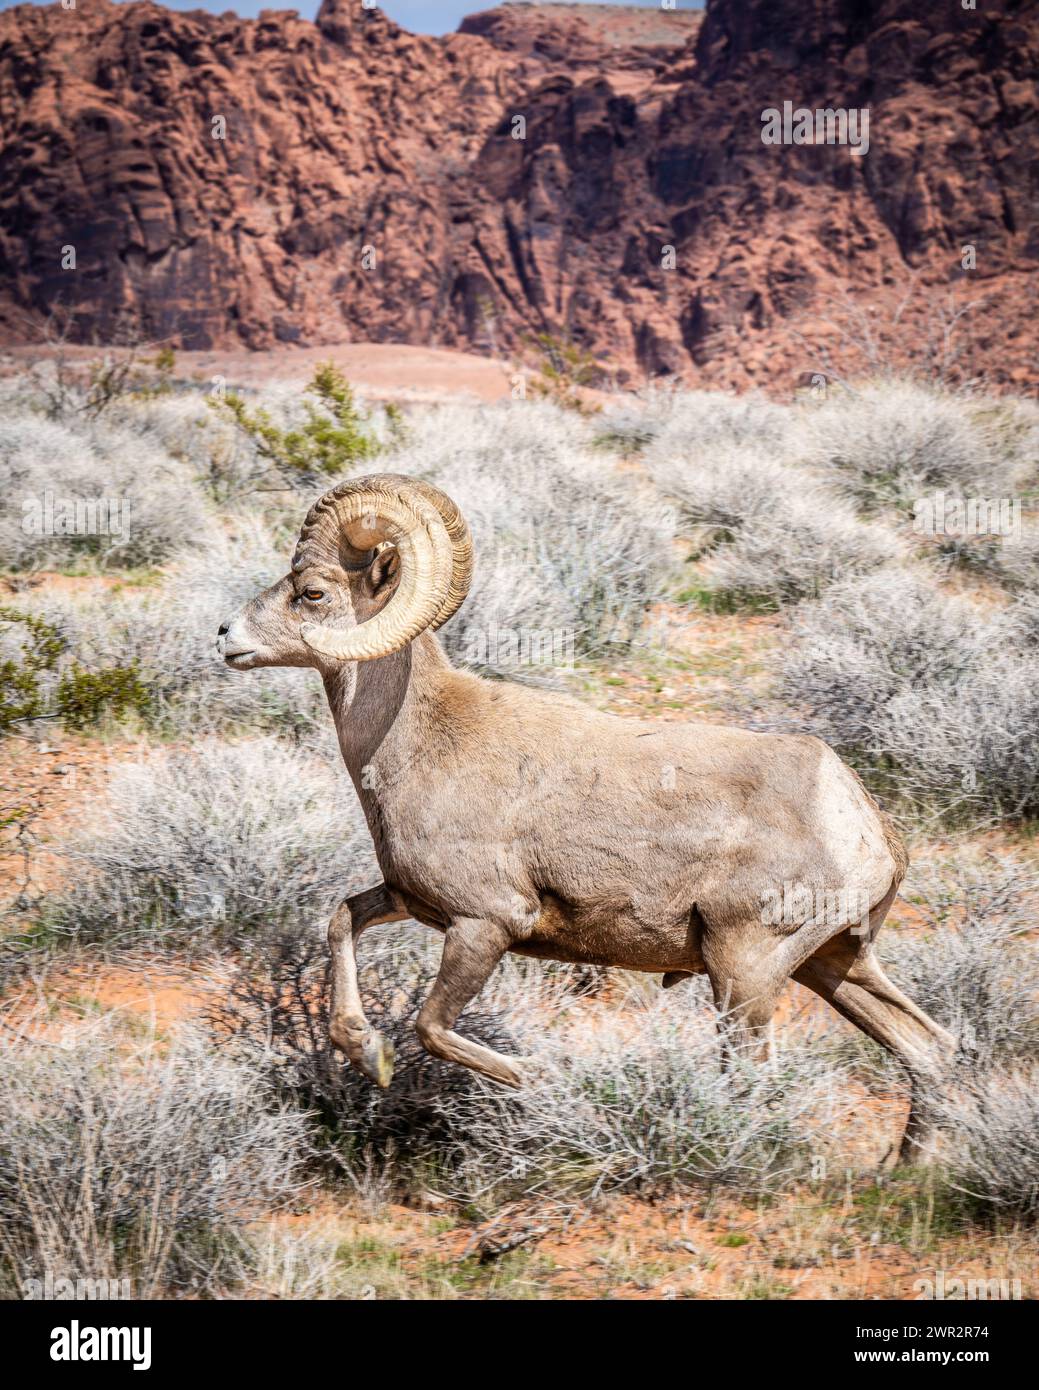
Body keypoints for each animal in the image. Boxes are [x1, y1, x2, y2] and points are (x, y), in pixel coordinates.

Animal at [218, 473, 955, 1163]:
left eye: (312, 592)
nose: (226, 637)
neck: (416, 740)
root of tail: (867, 827)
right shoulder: (407, 900)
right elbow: (342, 920)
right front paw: (369, 1053)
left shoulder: (484, 925)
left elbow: (432, 1027)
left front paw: (545, 1078)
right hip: (831, 966)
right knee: (927, 1047)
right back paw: (901, 1169)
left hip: (743, 976)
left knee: (754, 1075)